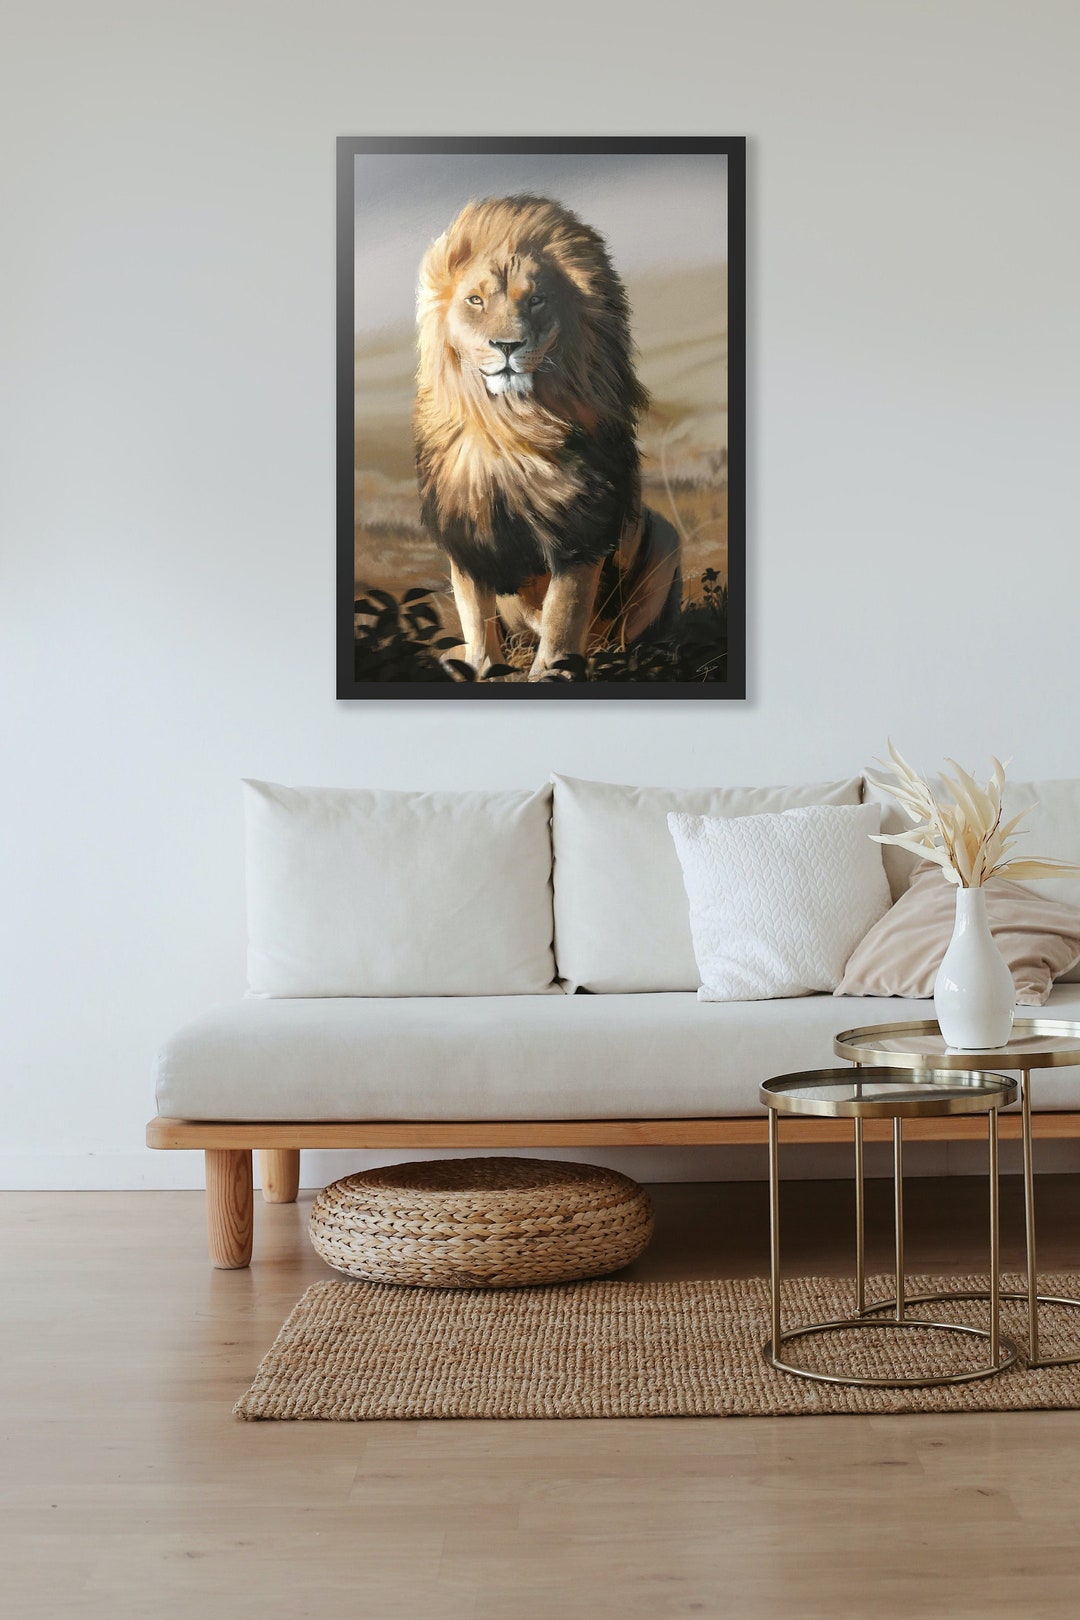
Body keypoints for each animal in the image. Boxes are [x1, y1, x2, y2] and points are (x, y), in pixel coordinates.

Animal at [413, 194, 681, 680]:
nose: (507, 345)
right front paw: (482, 669)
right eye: (475, 300)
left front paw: (551, 673)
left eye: (537, 300)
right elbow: (477, 620)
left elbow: (562, 616)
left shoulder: (582, 536)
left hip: (666, 537)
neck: (510, 428)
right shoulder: (467, 539)